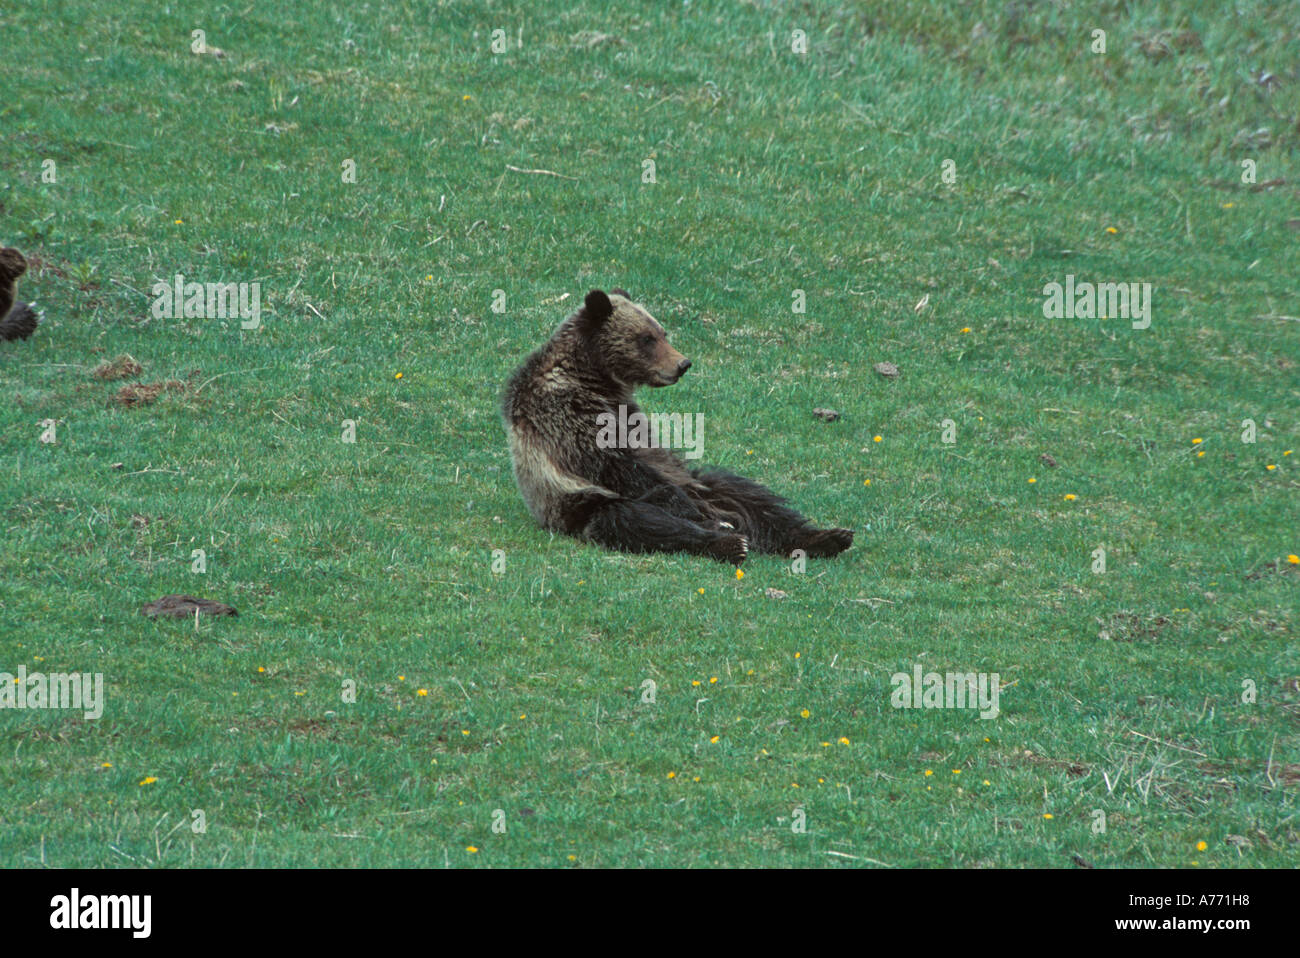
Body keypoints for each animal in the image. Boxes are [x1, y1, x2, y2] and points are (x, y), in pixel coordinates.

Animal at [501, 289, 854, 564]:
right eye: (646, 338)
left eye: (662, 332)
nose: (682, 364)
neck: (596, 378)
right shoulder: (565, 414)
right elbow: (614, 464)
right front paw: (701, 518)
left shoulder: (631, 418)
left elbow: (655, 454)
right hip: (583, 505)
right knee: (635, 520)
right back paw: (726, 539)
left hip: (710, 485)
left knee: (753, 498)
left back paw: (827, 536)